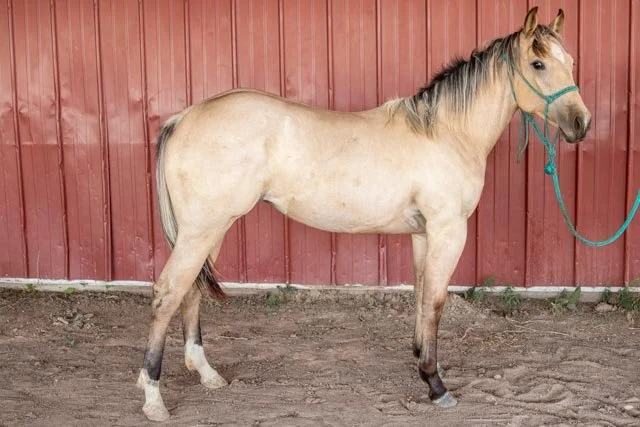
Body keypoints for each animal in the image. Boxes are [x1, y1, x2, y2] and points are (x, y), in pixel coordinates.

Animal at [136, 7, 591, 421]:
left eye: (570, 61)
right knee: (167, 293)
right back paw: (154, 396)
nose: (581, 123)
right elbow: (437, 301)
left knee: (191, 291)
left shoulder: (423, 233)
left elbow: (421, 294)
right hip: (202, 229)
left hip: (211, 229)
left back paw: (206, 374)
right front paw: (436, 384)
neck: (446, 133)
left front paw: (422, 361)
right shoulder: (448, 231)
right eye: (538, 64)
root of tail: (183, 118)